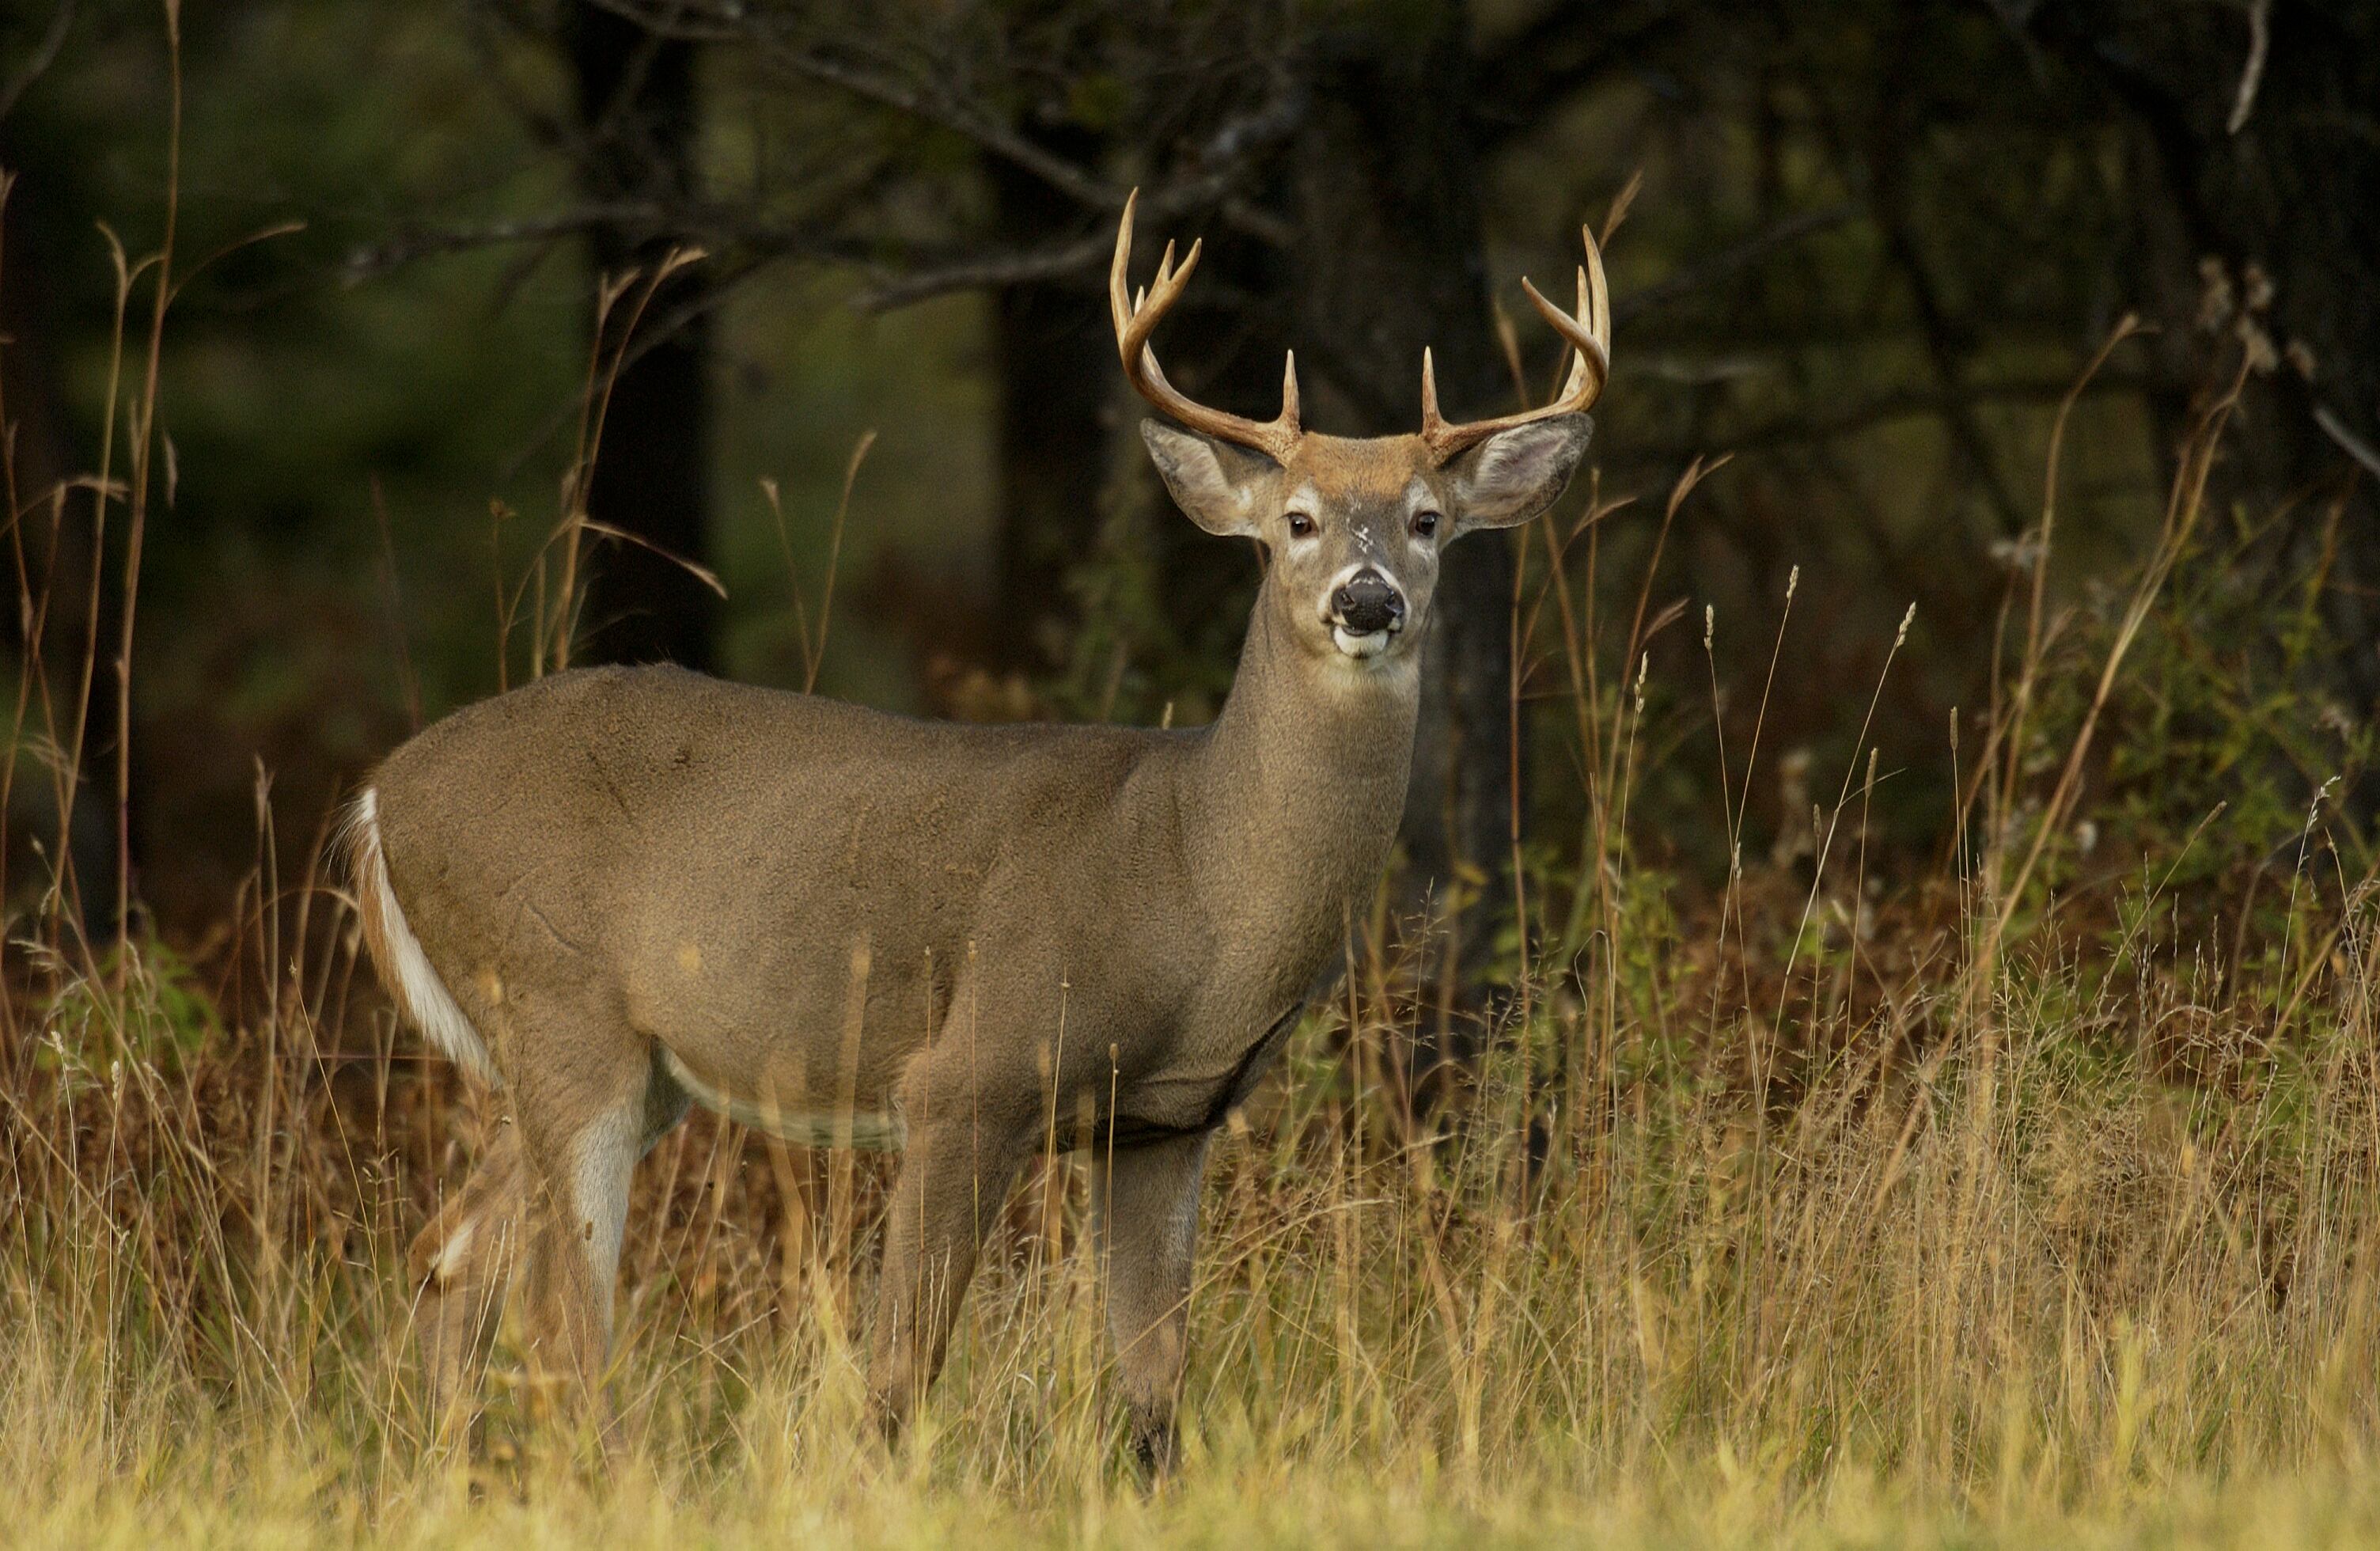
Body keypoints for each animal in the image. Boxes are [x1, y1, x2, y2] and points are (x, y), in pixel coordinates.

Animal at [344, 191, 1611, 1474]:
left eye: (1427, 520)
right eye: (1295, 520)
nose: (1367, 600)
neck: (1192, 877)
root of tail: (382, 797)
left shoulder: (1165, 1119)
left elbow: (1154, 1394)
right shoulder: (969, 1077)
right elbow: (901, 1362)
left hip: (628, 1064)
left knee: (451, 1264)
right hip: (558, 1004)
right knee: (562, 1313)